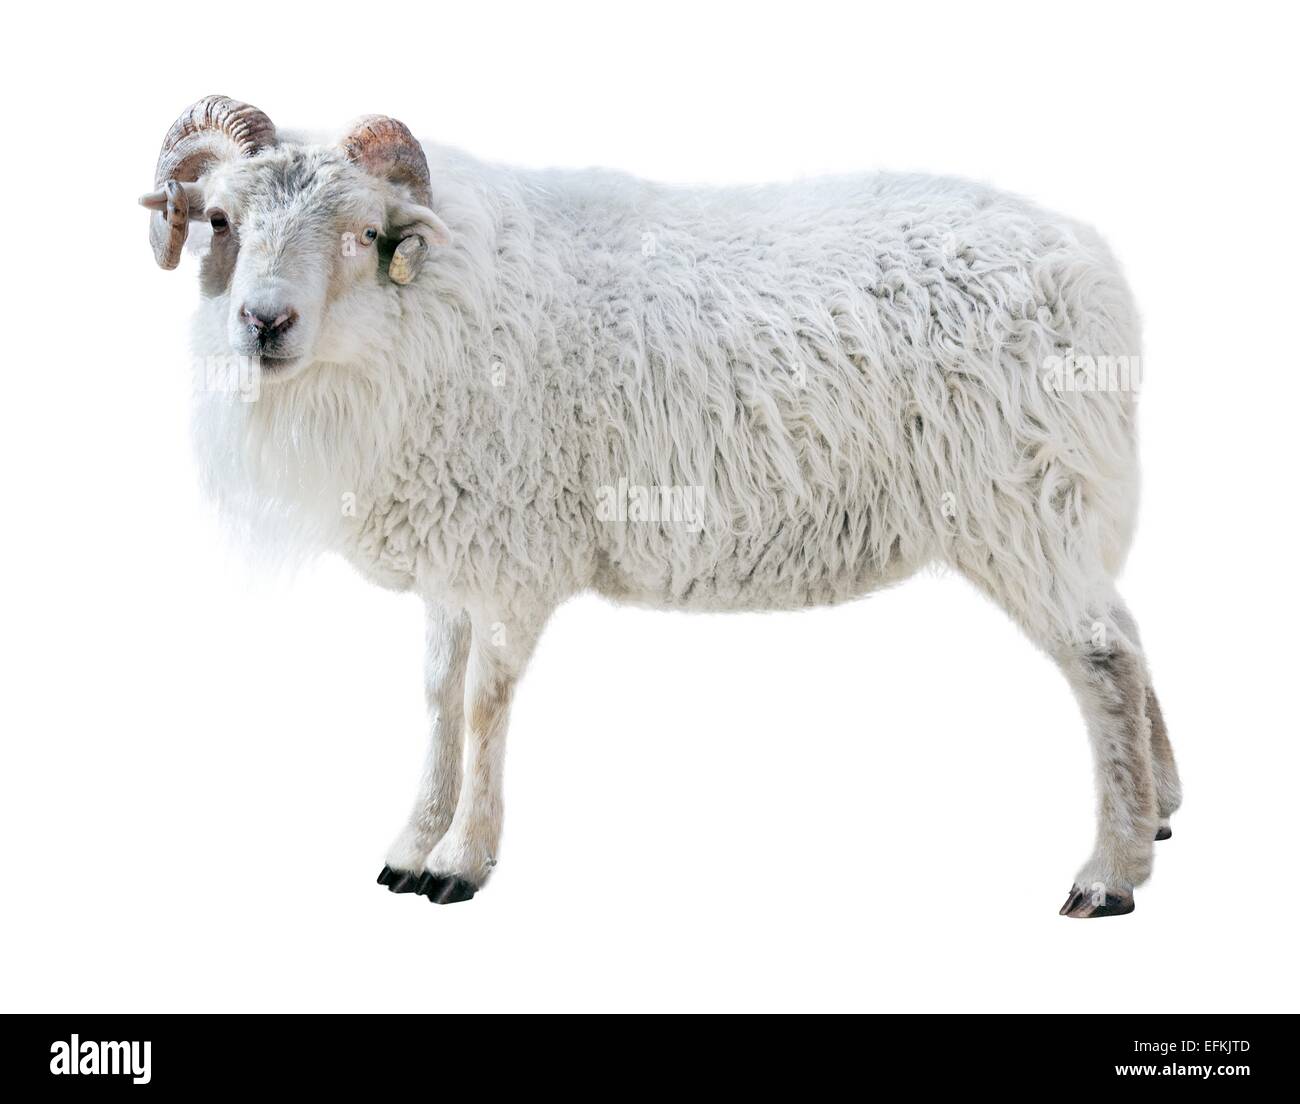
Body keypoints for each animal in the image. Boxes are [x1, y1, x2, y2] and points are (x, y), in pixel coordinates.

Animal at [140, 95, 1179, 916]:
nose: (263, 324)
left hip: (1024, 500)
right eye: (221, 218)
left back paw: (1110, 873)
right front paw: (409, 846)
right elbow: (437, 698)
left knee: (1107, 660)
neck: (428, 310)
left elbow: (483, 704)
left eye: (362, 232)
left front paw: (461, 863)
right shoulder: (455, 553)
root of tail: (1094, 272)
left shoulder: (515, 554)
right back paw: (1160, 811)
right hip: (1064, 504)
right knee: (1129, 633)